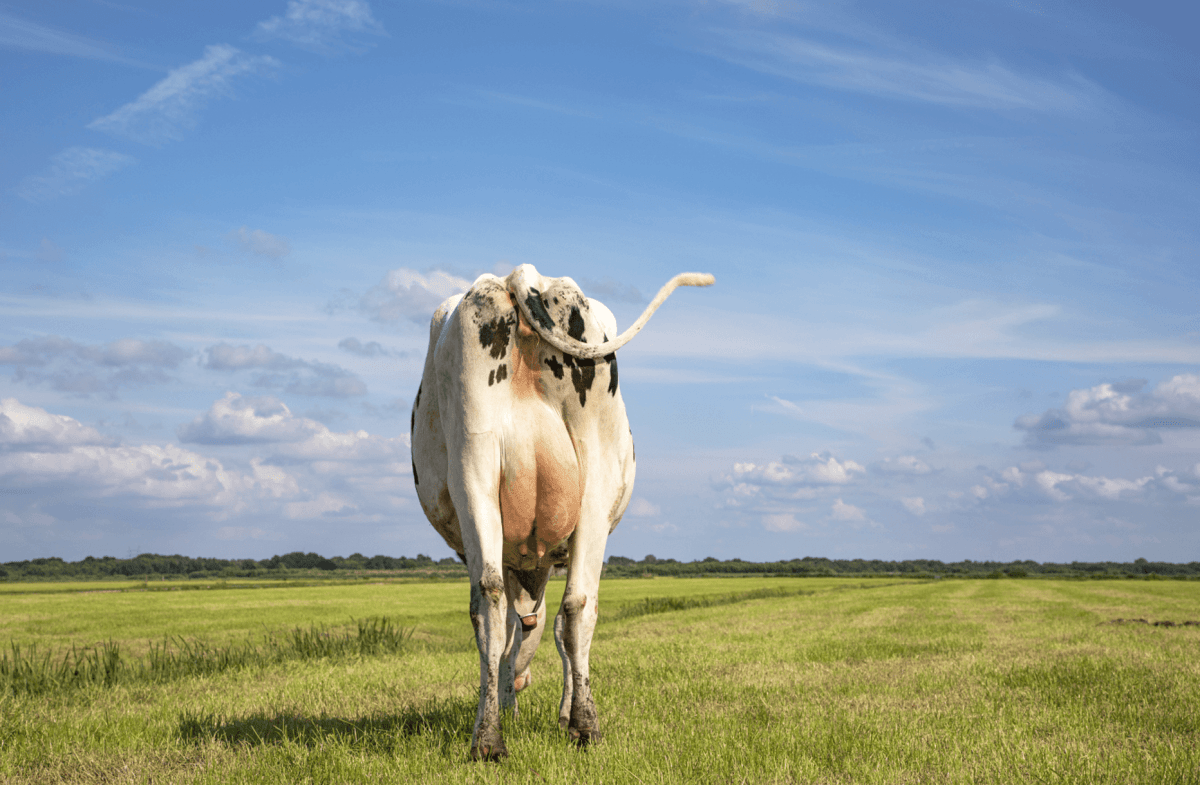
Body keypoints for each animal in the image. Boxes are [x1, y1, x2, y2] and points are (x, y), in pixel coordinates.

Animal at [410, 263, 713, 760]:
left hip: (477, 459)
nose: (522, 682)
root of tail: (521, 277)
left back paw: (489, 739)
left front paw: (519, 708)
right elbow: (555, 631)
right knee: (577, 607)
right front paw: (564, 713)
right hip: (594, 470)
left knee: (490, 600)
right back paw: (584, 725)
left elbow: (514, 631)